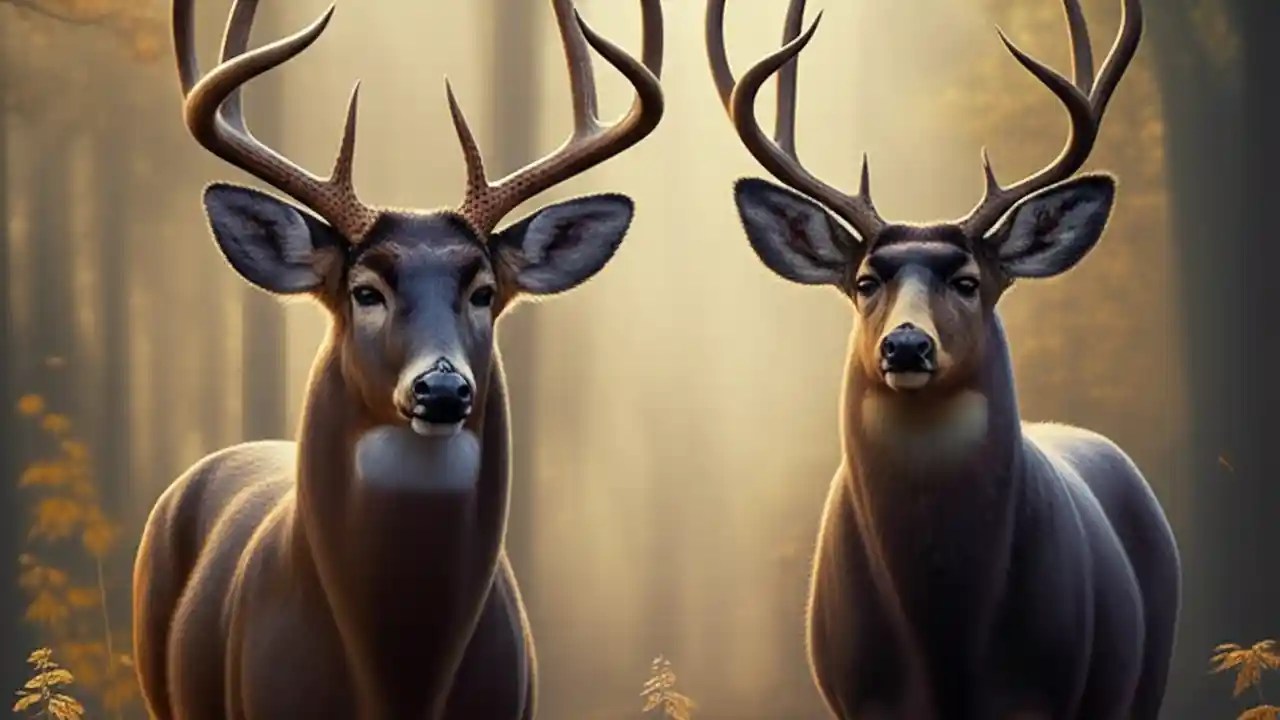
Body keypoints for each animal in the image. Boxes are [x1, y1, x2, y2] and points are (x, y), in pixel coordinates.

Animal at [708, 0, 1179, 718]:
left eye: (968, 281)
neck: (944, 641)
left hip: (1144, 679)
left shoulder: (1042, 692)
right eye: (865, 282)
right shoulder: (856, 697)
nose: (906, 344)